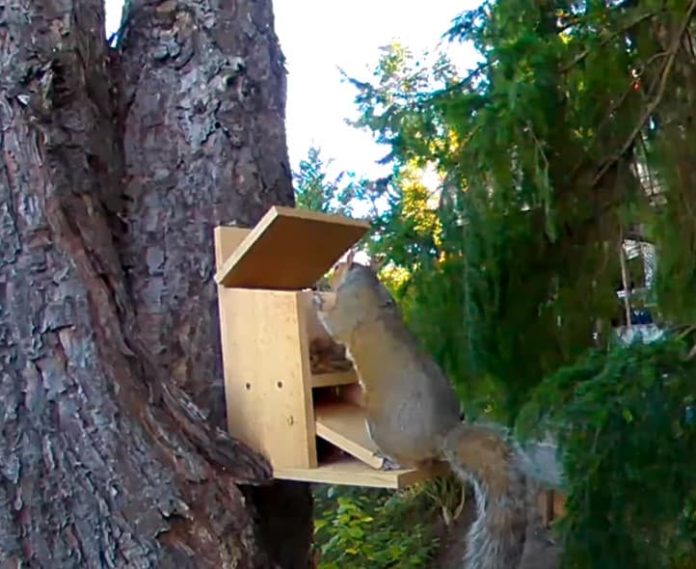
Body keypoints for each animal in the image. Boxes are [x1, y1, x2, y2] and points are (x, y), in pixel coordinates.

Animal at [314, 261, 553, 569]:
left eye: (338, 267)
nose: (324, 279)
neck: (367, 282)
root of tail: (441, 433)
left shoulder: (350, 307)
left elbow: (335, 324)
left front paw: (317, 299)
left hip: (379, 428)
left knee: (412, 461)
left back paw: (390, 461)